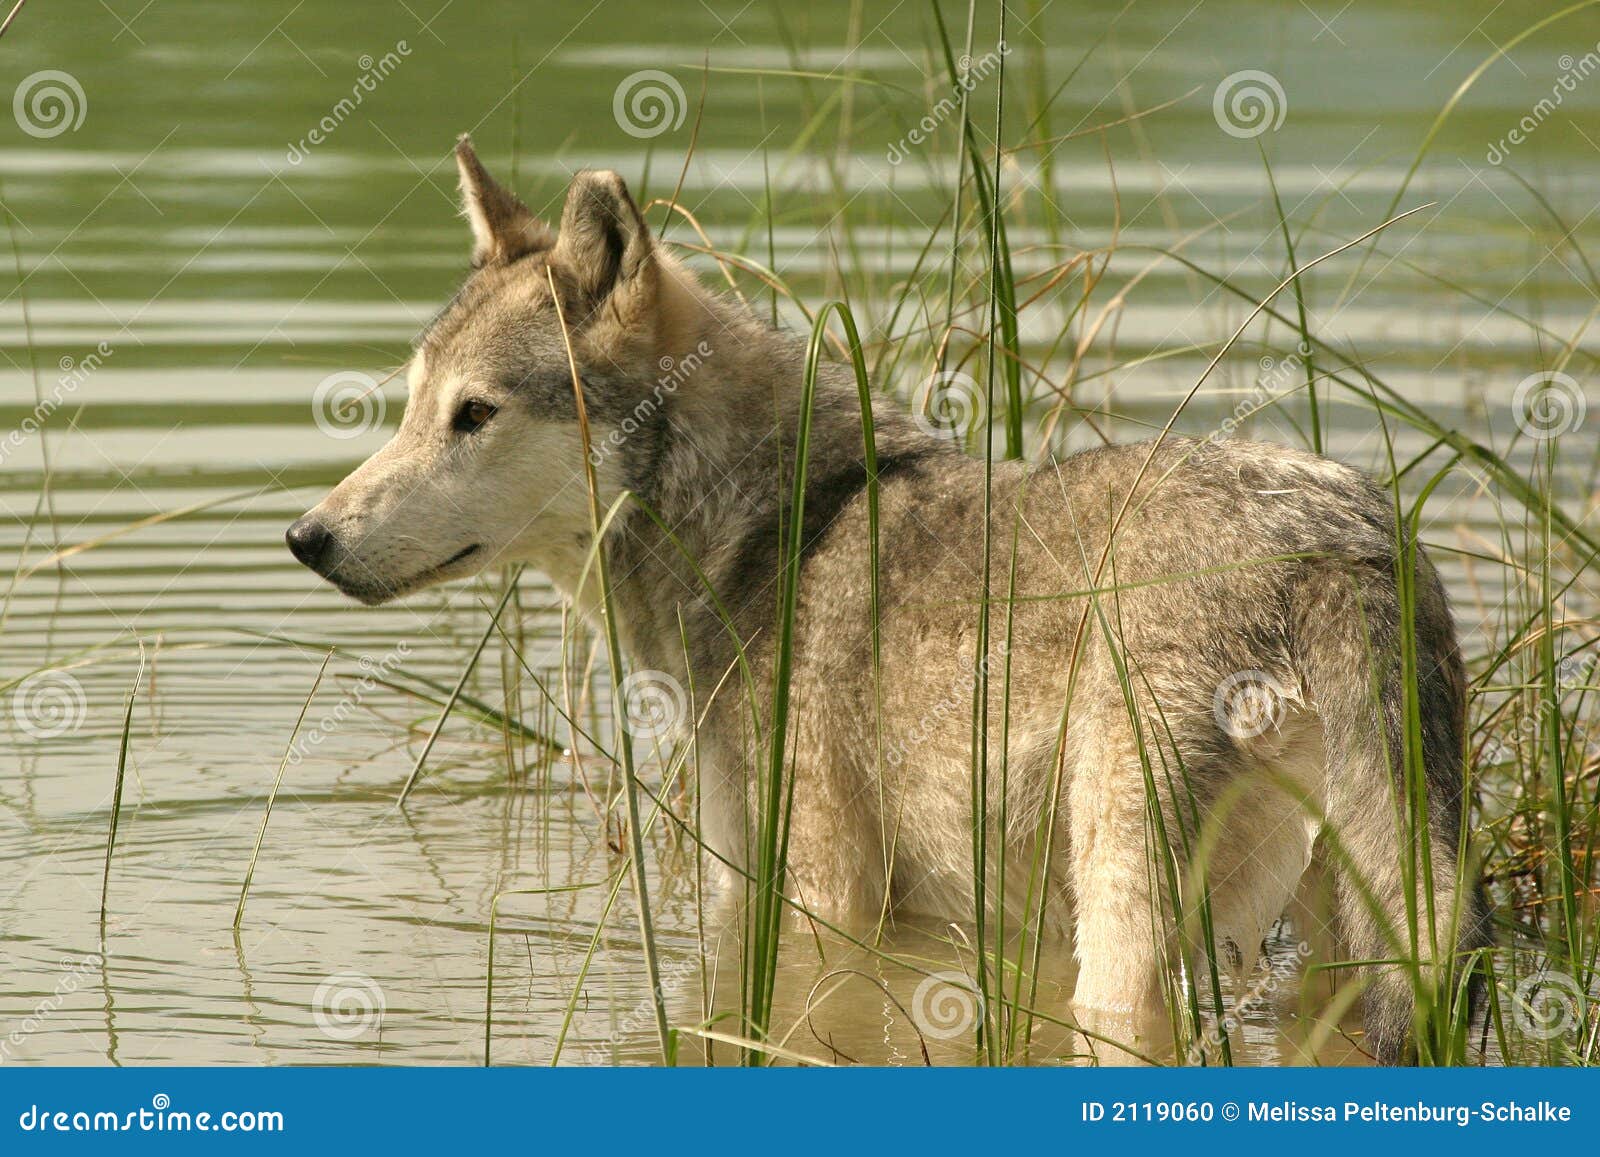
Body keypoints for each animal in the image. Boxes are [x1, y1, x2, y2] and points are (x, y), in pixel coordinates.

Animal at [287, 137, 1492, 1064]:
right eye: (411, 405)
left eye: (474, 413)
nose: (307, 538)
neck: (778, 527)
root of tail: (1343, 545)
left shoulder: (820, 901)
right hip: (1343, 941)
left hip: (1126, 931)